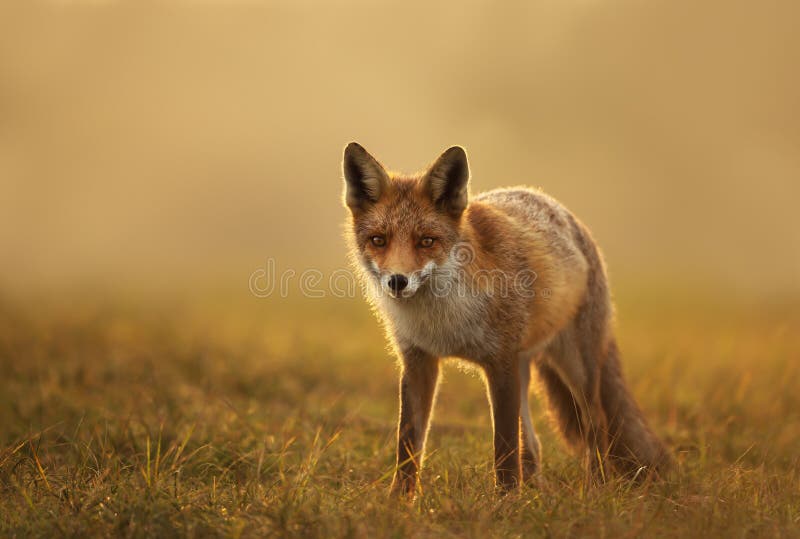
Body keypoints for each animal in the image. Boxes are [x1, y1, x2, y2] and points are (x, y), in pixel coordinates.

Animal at [341, 142, 672, 495]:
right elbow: (408, 446)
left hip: (575, 366)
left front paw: (506, 501)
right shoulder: (419, 361)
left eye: (426, 241)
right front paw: (399, 501)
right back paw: (537, 492)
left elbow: (504, 449)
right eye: (379, 240)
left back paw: (594, 487)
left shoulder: (500, 362)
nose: (397, 281)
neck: (444, 320)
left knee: (596, 425)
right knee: (534, 444)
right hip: (524, 366)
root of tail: (565, 213)